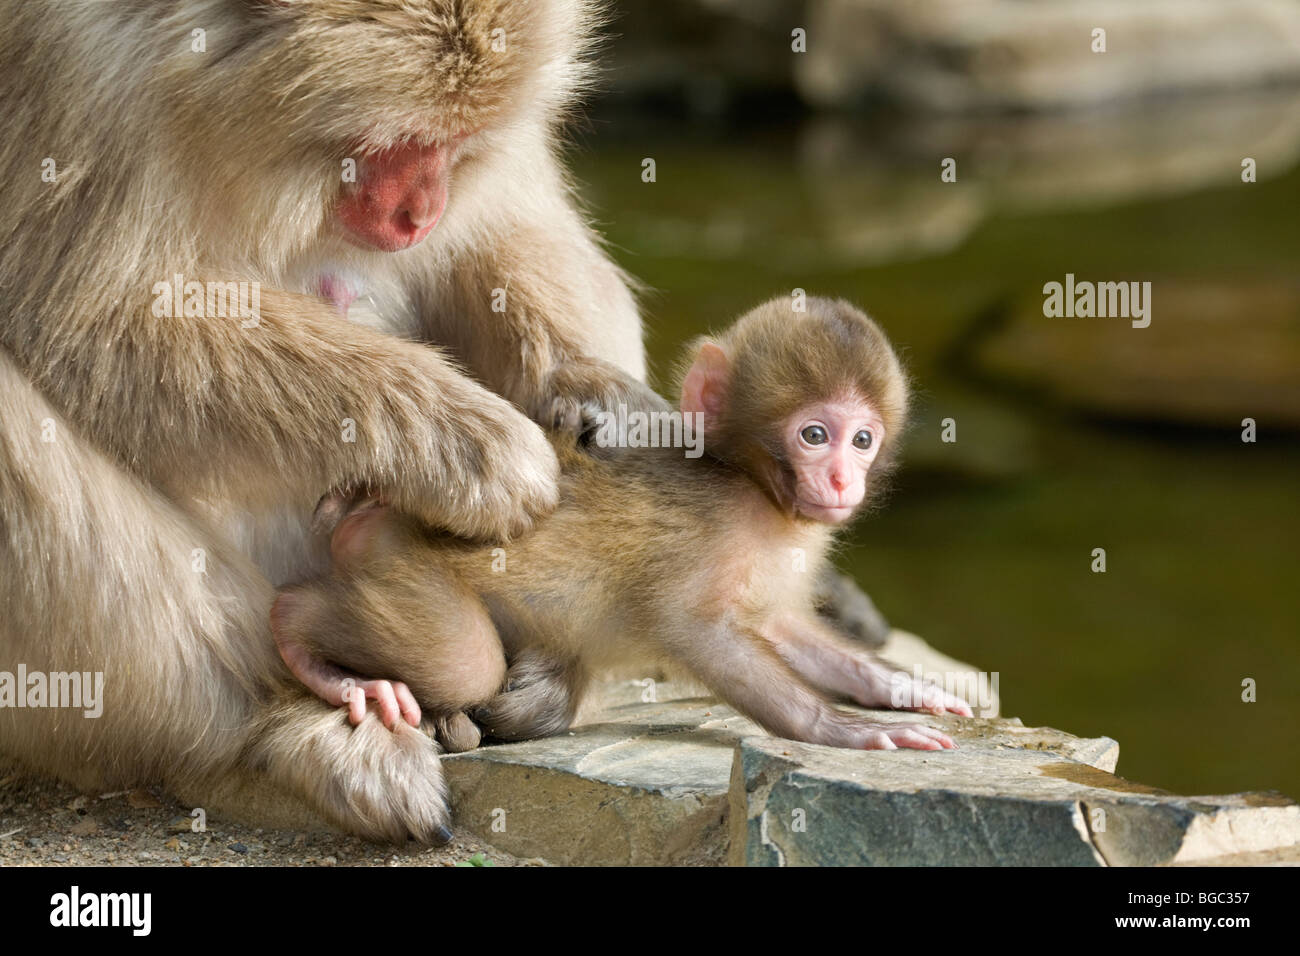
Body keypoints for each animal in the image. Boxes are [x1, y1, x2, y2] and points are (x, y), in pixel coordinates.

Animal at [0, 0, 667, 844]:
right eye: (387, 147)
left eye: (454, 146)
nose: (420, 214)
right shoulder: (73, 81)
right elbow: (94, 320)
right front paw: (475, 450)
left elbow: (508, 225)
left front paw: (589, 389)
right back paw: (292, 716)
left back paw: (550, 666)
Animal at [271, 297, 974, 781]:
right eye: (815, 435)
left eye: (863, 439)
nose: (840, 479)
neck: (753, 489)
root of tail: (367, 514)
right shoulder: (714, 533)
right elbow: (697, 632)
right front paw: (841, 728)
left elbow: (786, 631)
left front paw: (906, 689)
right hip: (402, 564)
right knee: (462, 660)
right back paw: (310, 646)